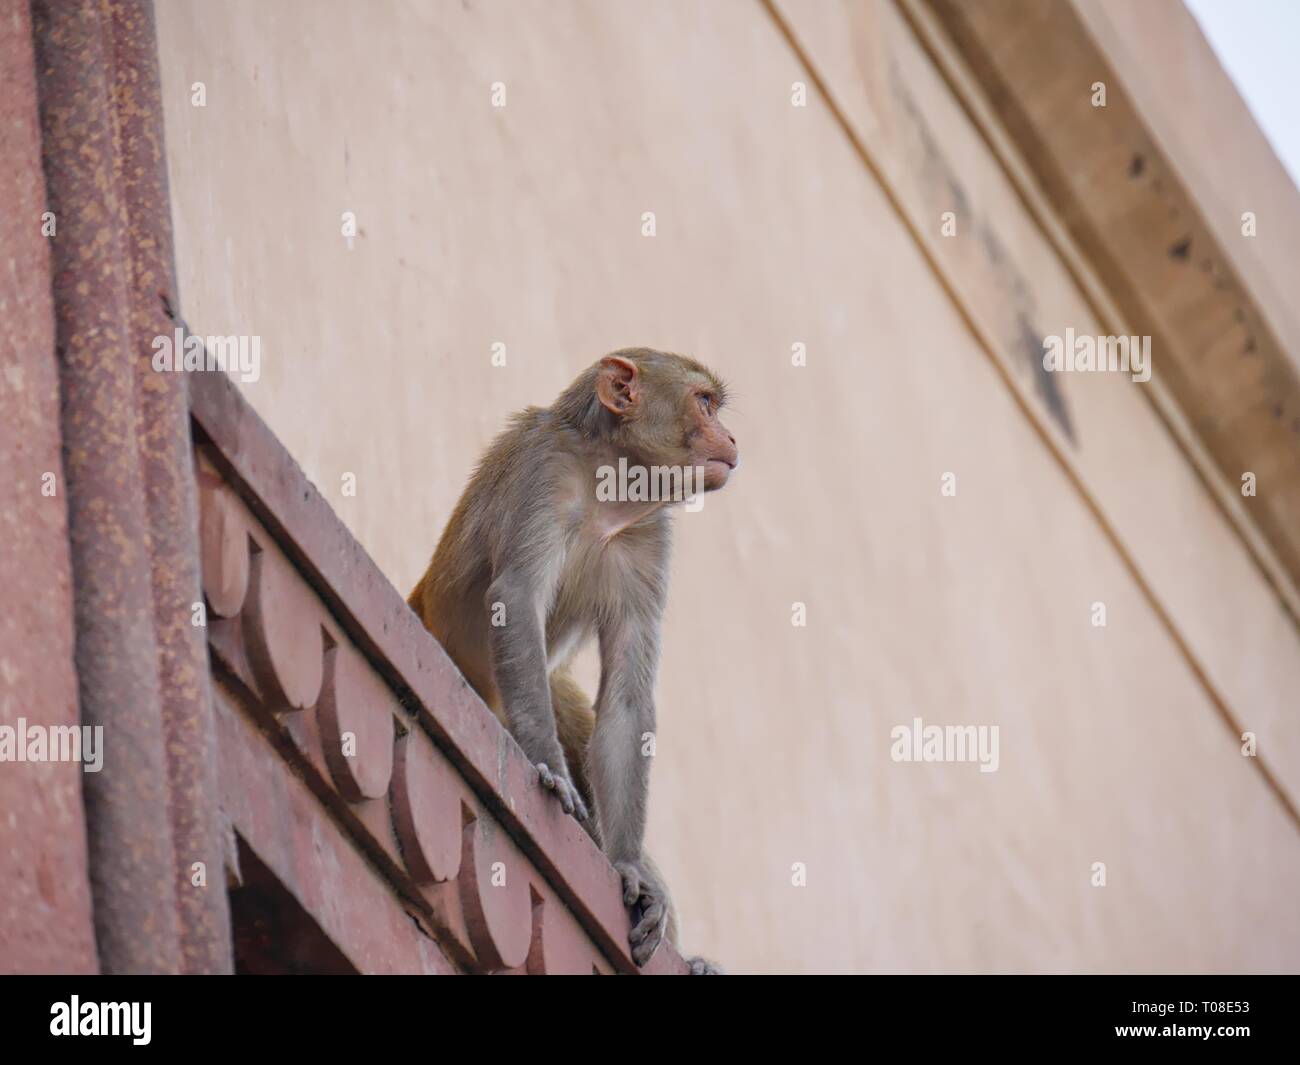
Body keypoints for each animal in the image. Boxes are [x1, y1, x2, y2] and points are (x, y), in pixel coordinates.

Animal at [408, 347, 737, 973]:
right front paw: (548, 768)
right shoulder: (544, 469)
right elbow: (515, 598)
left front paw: (630, 866)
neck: (608, 481)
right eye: (704, 402)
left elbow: (627, 699)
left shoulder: (650, 535)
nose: (731, 437)